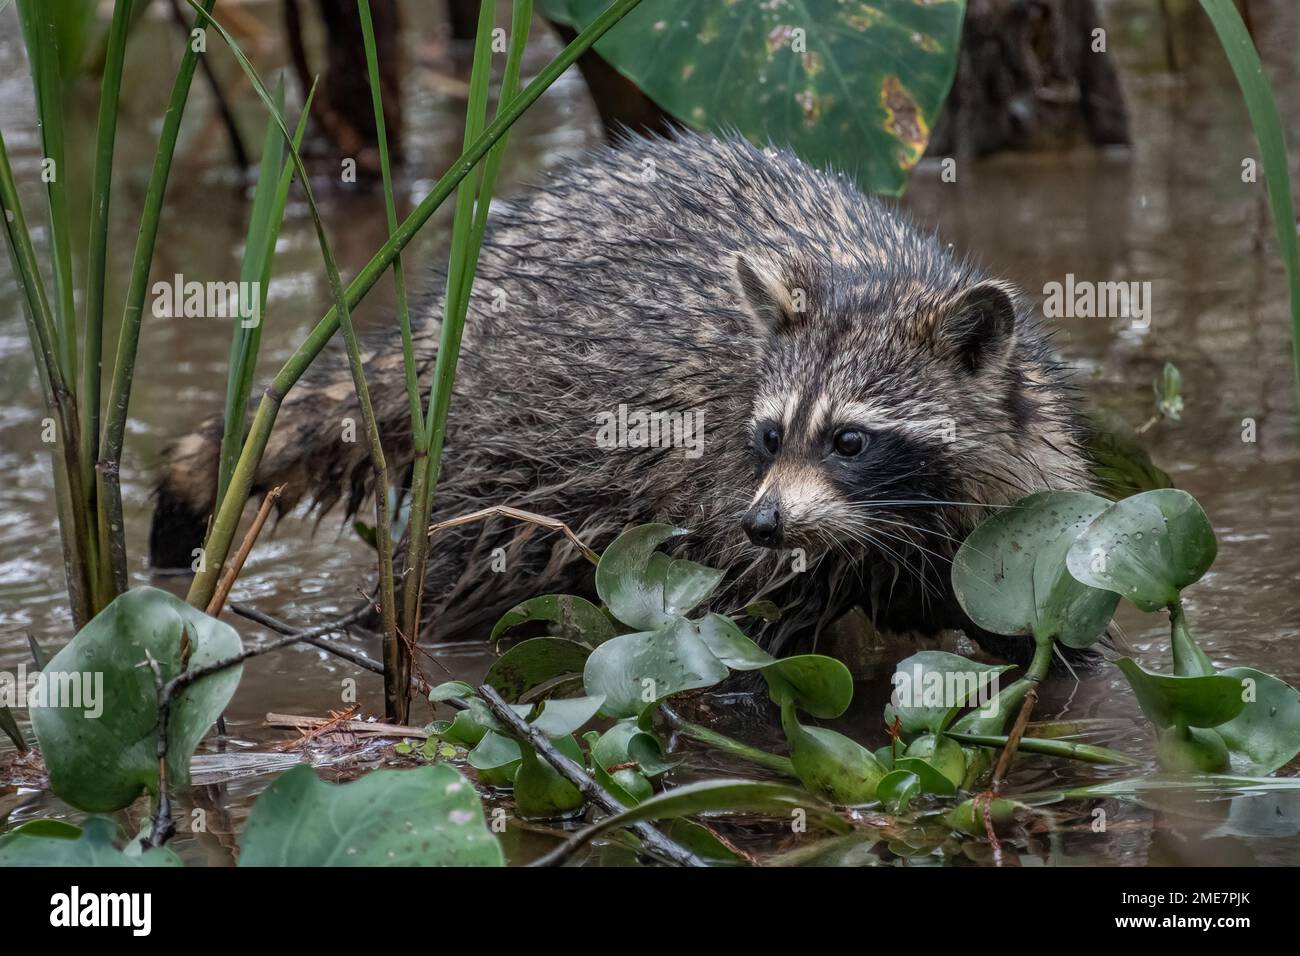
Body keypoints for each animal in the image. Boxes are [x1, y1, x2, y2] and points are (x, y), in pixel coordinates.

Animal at [151, 130, 1092, 664]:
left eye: (849, 441)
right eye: (770, 434)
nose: (766, 520)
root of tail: (445, 324)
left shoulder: (1022, 518)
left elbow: (1052, 652)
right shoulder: (727, 520)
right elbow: (753, 657)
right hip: (493, 471)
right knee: (450, 579)